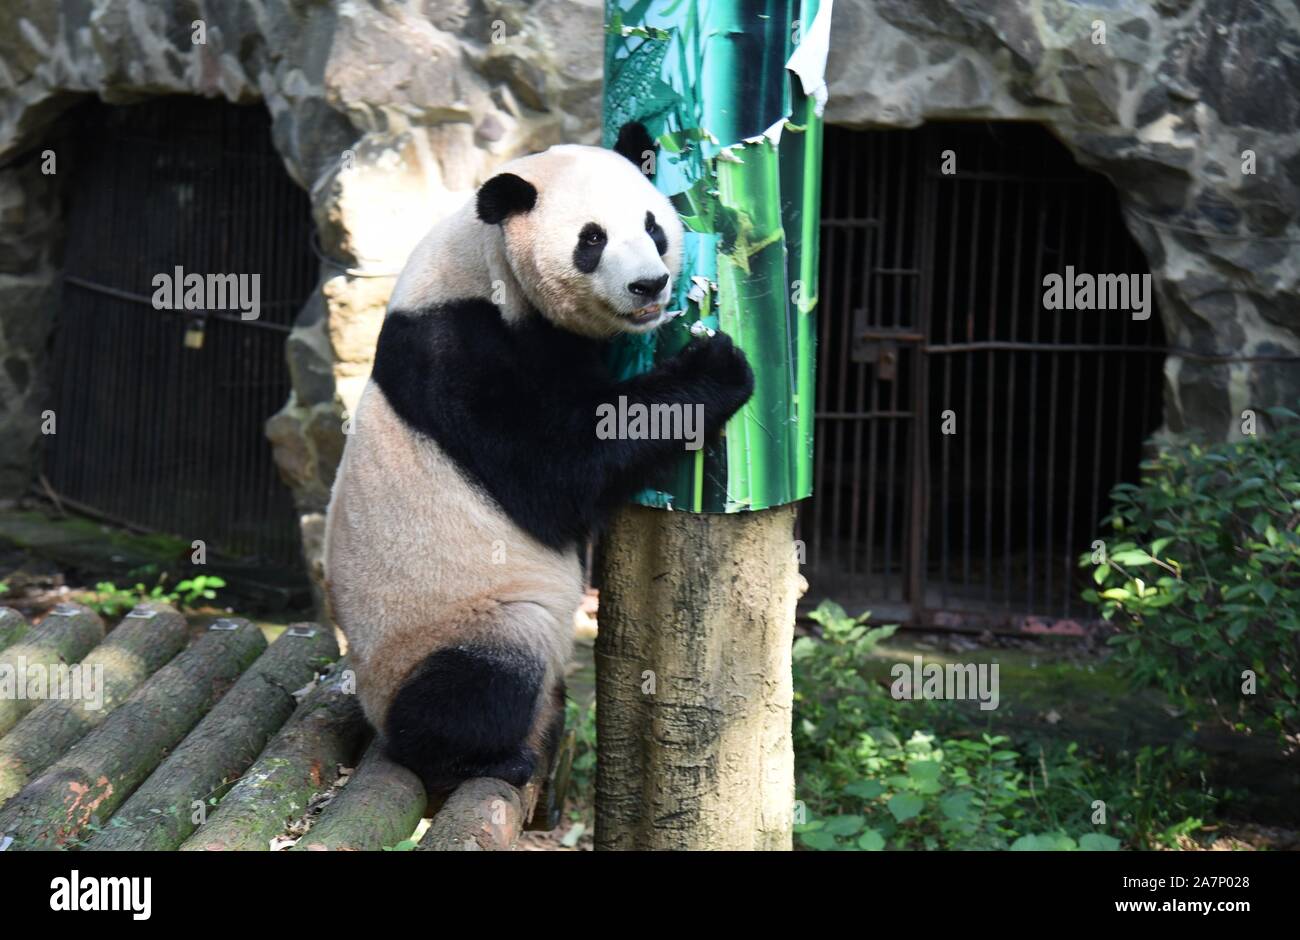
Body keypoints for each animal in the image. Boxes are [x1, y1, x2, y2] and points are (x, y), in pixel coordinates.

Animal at [323, 123, 755, 796]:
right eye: (592, 240)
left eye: (653, 226)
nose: (649, 285)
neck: (484, 256)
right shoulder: (458, 346)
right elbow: (553, 472)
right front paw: (717, 368)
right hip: (450, 622)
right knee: (480, 681)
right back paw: (480, 758)